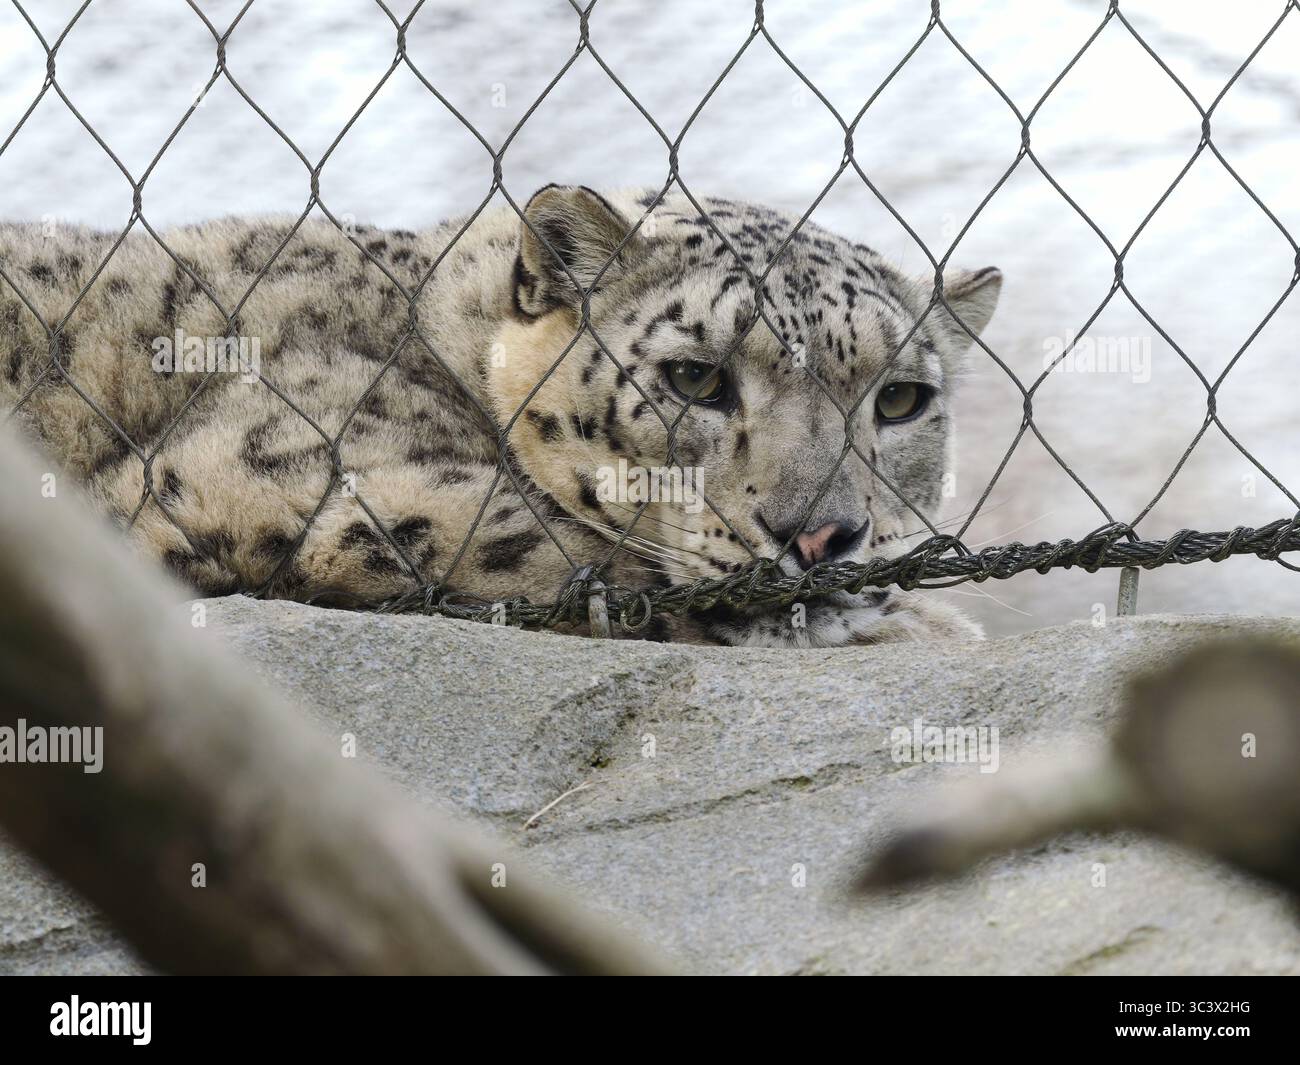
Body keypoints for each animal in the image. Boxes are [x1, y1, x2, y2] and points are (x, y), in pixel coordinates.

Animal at [0, 185, 1001, 647]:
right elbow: (589, 555)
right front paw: (927, 621)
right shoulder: (298, 485)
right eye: (696, 379)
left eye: (900, 399)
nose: (823, 536)